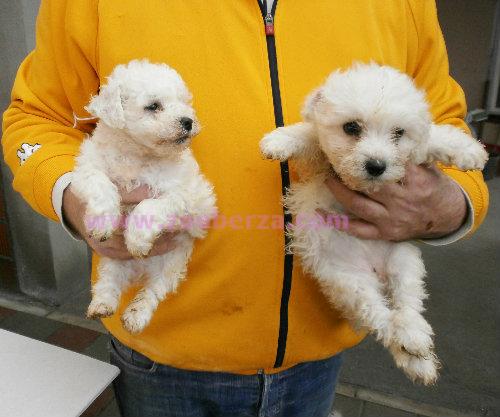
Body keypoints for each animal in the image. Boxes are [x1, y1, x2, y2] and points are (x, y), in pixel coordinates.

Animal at [71, 58, 217, 334]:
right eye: (153, 106)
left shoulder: (192, 197)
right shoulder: (88, 168)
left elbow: (150, 205)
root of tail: (138, 270)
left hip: (171, 263)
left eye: (184, 102)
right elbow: (100, 183)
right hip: (113, 258)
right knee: (109, 281)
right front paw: (102, 223)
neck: (137, 155)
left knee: (154, 290)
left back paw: (135, 315)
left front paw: (137, 240)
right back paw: (102, 304)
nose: (188, 121)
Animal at [260, 61, 486, 384]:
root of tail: (376, 270)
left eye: (399, 133)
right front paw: (280, 140)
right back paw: (412, 350)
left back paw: (415, 344)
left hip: (404, 262)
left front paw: (470, 151)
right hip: (348, 280)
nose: (377, 166)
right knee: (379, 315)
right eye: (351, 127)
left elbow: (434, 137)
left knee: (407, 303)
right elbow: (311, 133)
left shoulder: (415, 150)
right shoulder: (322, 157)